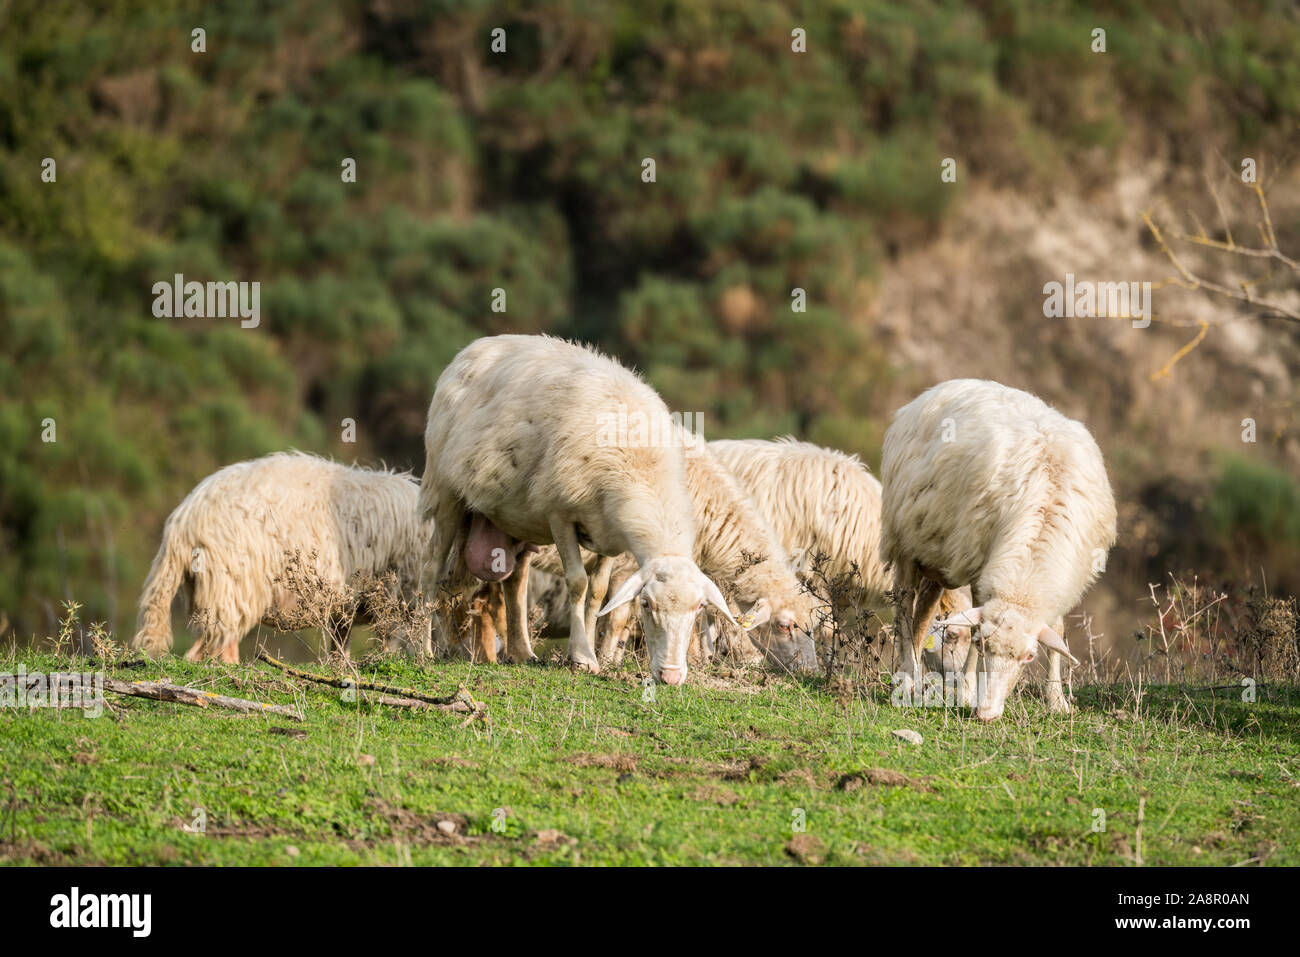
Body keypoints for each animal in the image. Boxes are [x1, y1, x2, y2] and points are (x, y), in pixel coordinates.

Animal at [130, 452, 431, 662]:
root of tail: (183, 522)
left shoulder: (345, 608)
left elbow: (341, 646)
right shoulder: (396, 597)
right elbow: (392, 643)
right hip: (233, 588)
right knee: (204, 653)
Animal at [417, 334, 733, 684]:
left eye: (700, 607)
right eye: (646, 604)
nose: (672, 676)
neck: (641, 470)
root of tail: (473, 348)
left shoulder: (610, 536)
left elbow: (597, 592)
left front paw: (590, 653)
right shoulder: (560, 515)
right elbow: (578, 583)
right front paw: (581, 656)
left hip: (509, 519)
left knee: (507, 580)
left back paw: (511, 651)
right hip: (445, 490)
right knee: (431, 568)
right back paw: (426, 650)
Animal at [880, 379, 1117, 721]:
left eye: (1029, 656)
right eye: (983, 646)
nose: (987, 713)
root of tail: (939, 388)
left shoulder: (1063, 580)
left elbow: (1057, 630)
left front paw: (1056, 699)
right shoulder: (981, 564)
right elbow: (973, 626)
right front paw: (967, 690)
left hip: (935, 556)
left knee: (921, 617)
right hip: (904, 542)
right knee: (903, 605)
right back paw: (909, 677)